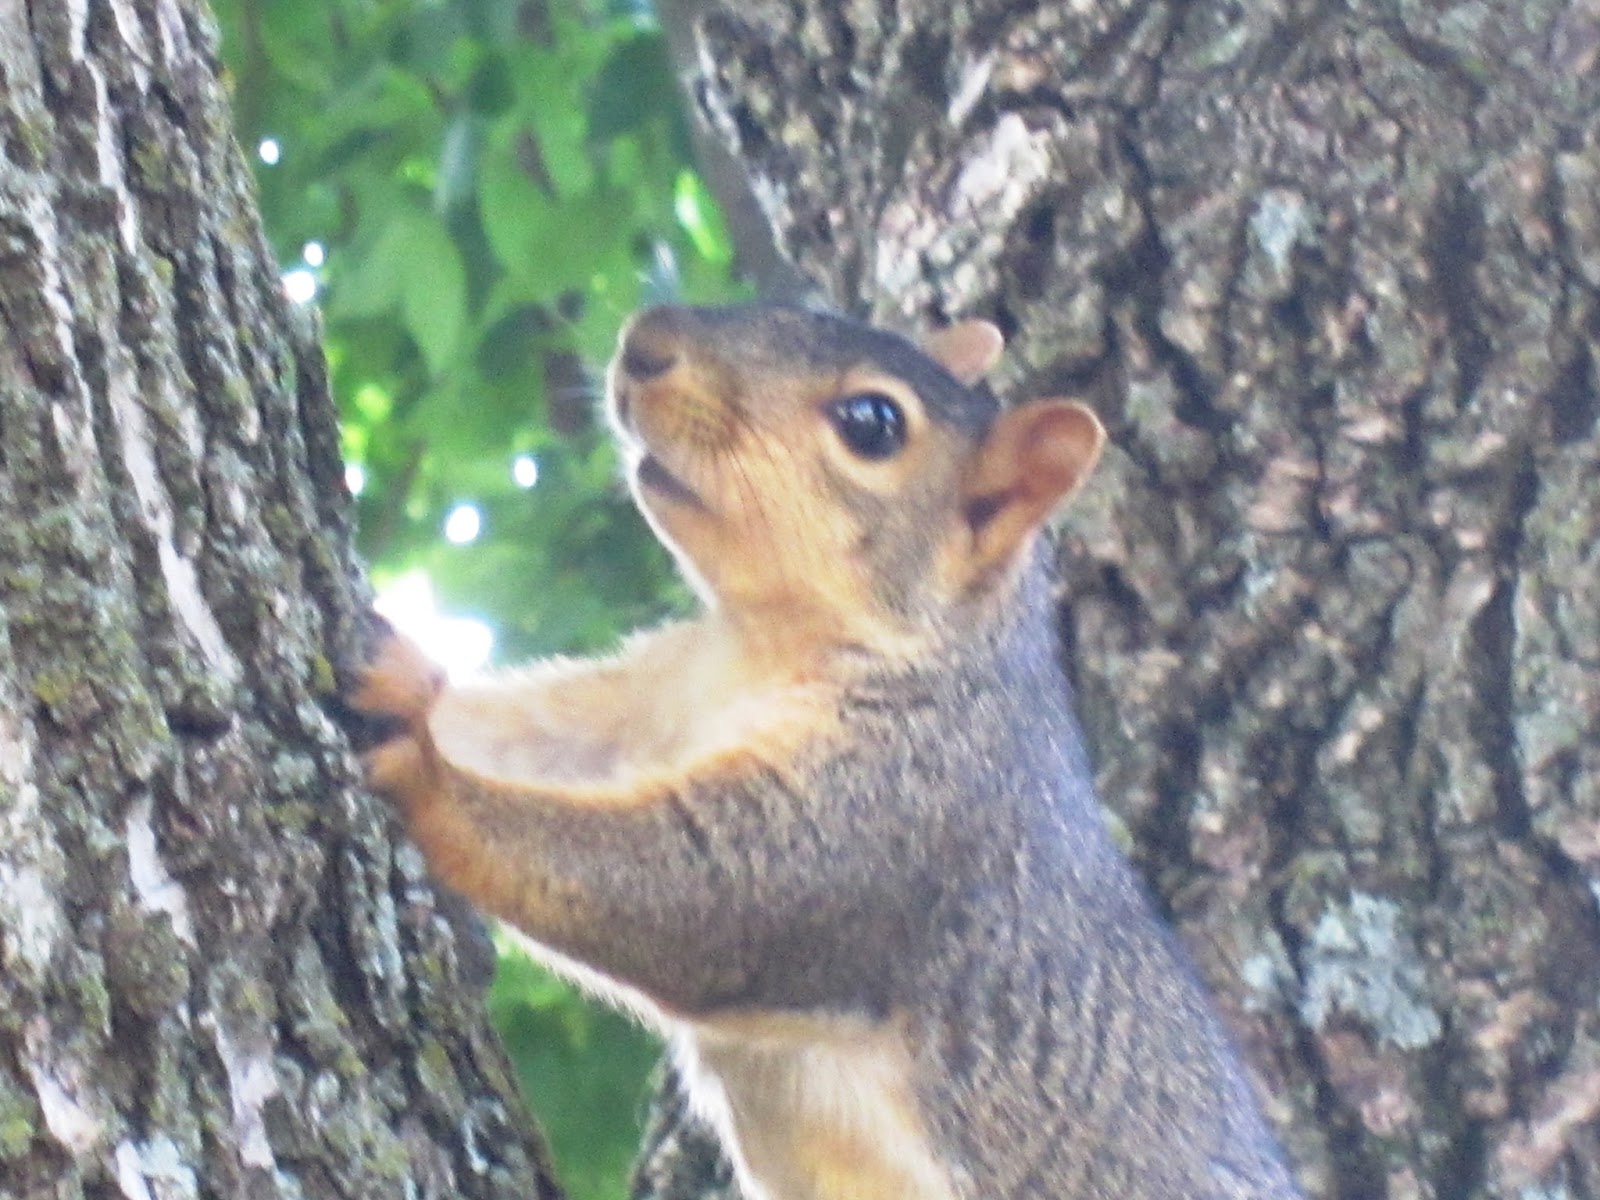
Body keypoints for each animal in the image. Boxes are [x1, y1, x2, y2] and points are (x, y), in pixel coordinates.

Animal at [349, 303, 1304, 1200]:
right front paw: (416, 678)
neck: (766, 650)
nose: (645, 341)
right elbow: (532, 738)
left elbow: (718, 891)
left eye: (872, 423)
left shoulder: (917, 795)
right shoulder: (641, 709)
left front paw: (425, 775)